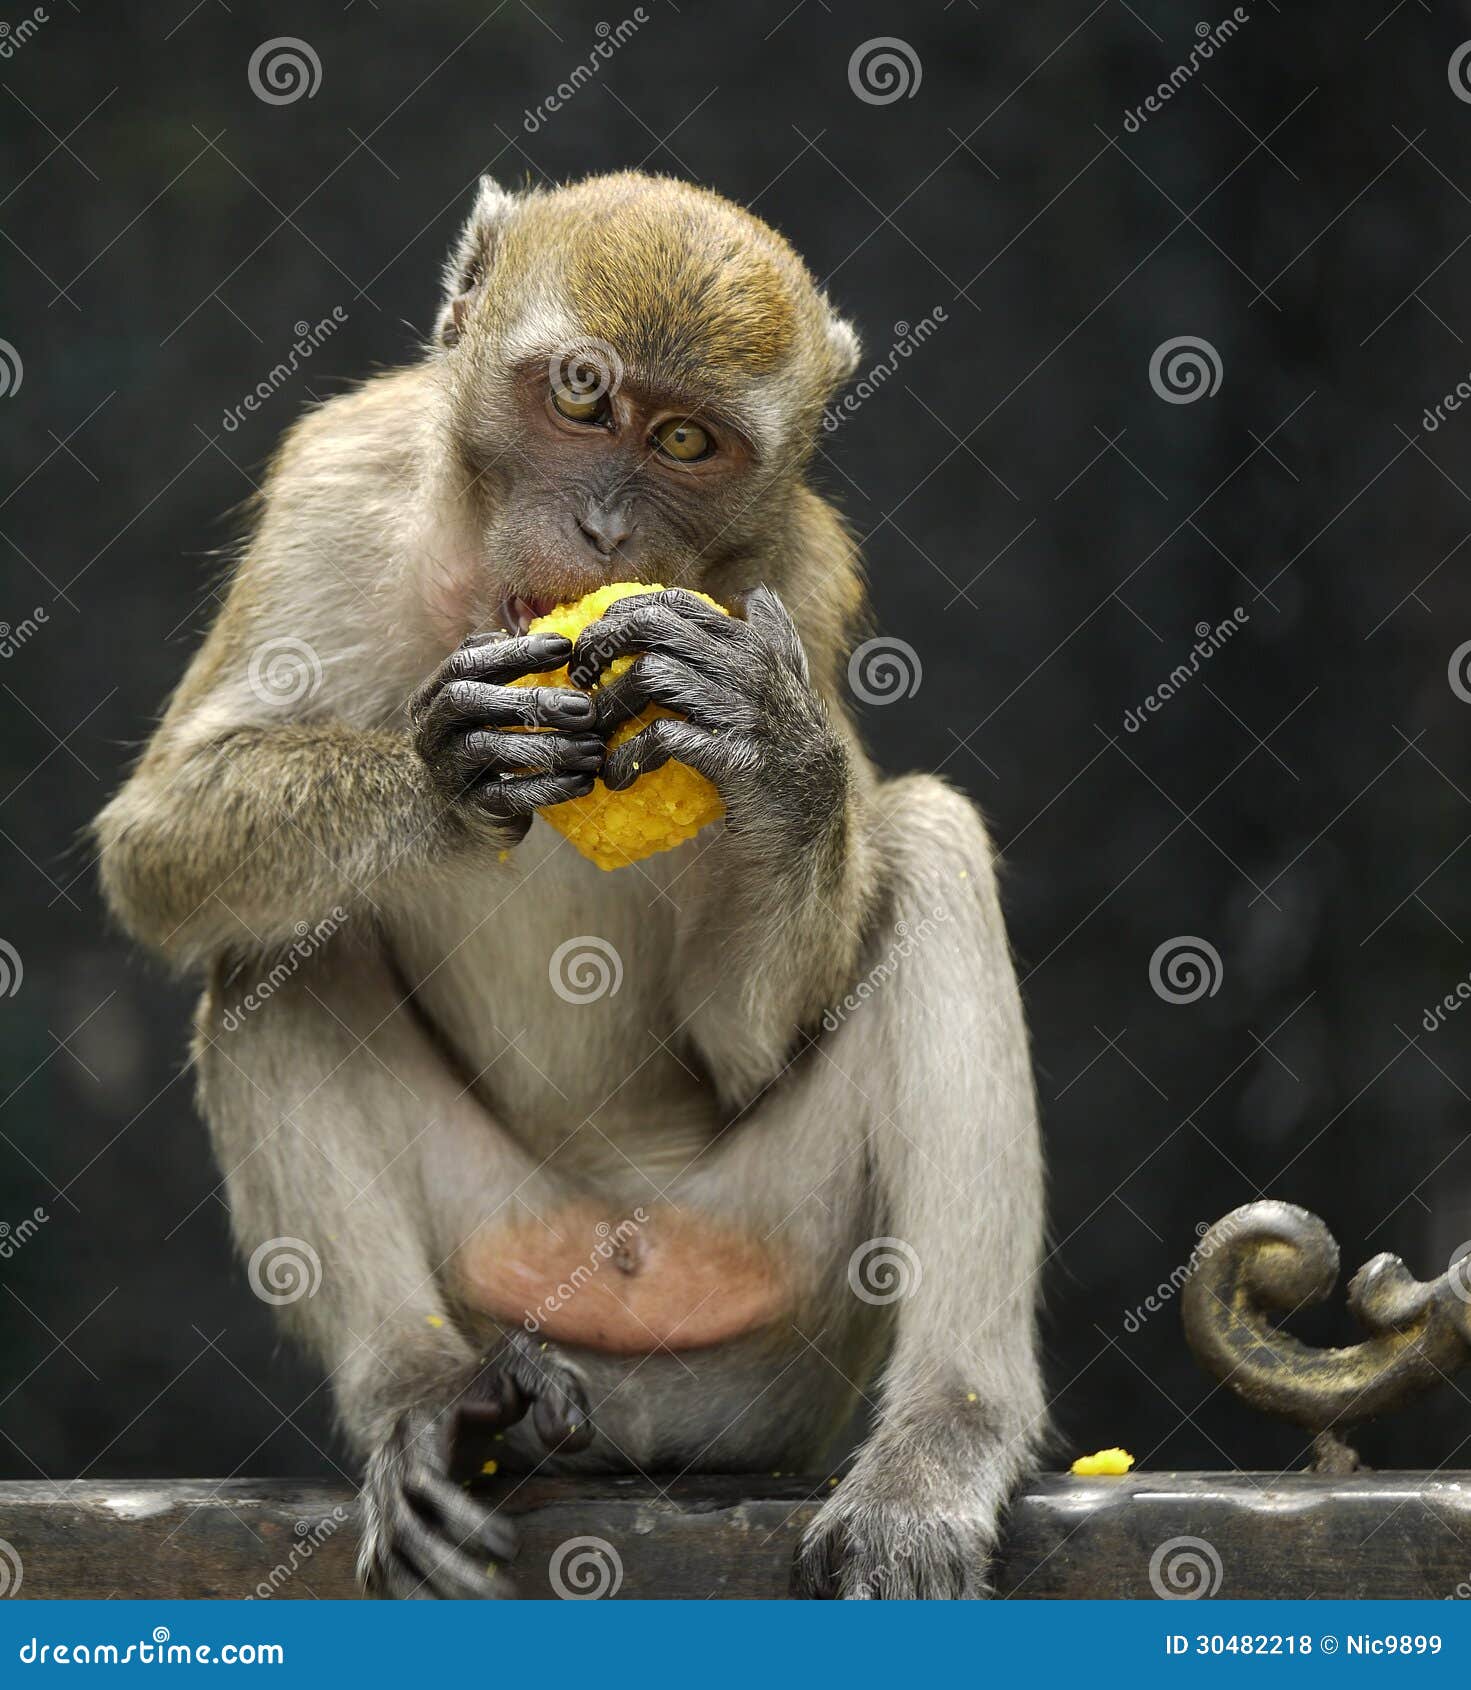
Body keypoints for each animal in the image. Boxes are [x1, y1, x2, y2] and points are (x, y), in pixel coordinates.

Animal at [94, 171, 1045, 1600]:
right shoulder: (337, 486)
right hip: (501, 1252)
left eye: (687, 441)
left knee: (928, 846)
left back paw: (942, 1445)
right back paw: (430, 1396)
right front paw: (441, 779)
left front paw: (775, 748)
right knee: (279, 944)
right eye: (583, 397)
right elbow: (156, 843)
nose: (604, 526)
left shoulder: (798, 587)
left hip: (779, 1289)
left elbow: (744, 1035)